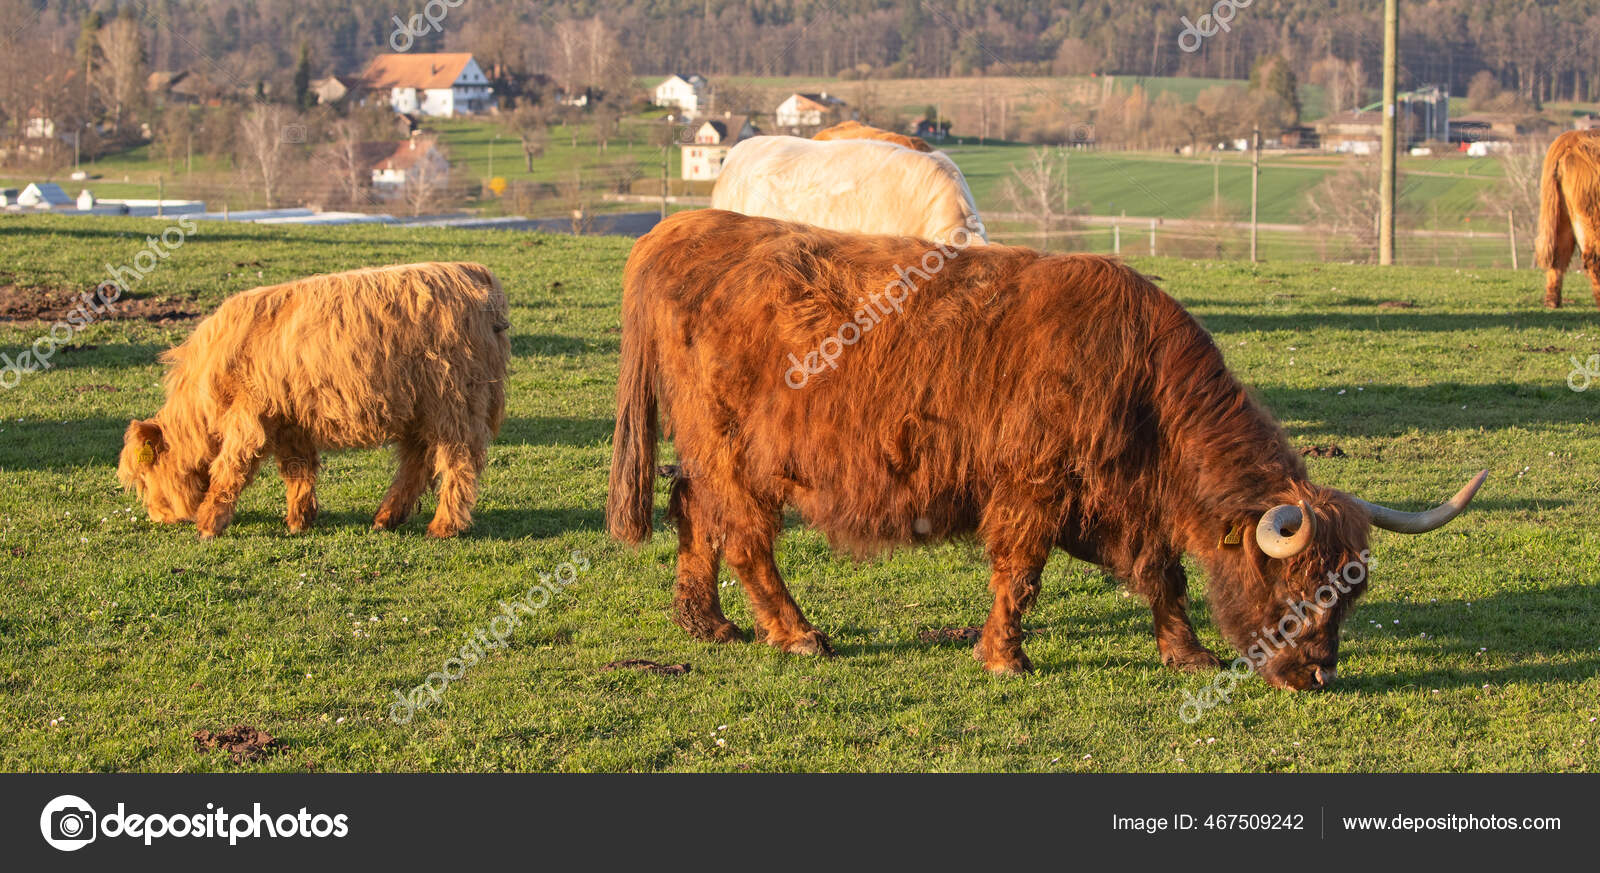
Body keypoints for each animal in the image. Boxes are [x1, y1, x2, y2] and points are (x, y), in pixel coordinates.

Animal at [118, 262, 510, 540]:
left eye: (145, 478)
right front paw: (299, 520)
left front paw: (209, 524)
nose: (158, 517)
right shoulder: (289, 421)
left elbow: (231, 468)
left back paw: (444, 526)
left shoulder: (249, 418)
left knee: (457, 463)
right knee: (416, 463)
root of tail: (474, 276)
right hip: (419, 409)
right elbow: (297, 469)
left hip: (453, 404)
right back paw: (385, 518)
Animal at [607, 209, 1486, 690]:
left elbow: (1163, 576)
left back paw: (707, 623)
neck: (1143, 388)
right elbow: (1021, 575)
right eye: (1295, 584)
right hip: (735, 451)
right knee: (745, 536)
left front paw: (1188, 653)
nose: (1318, 673)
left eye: (1352, 593)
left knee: (692, 507)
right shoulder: (1032, 485)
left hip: (709, 450)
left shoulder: (1121, 506)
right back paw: (794, 633)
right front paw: (1004, 657)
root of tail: (679, 231)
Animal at [1536, 129, 1600, 308]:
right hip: (1591, 214)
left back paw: (1552, 301)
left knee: (1558, 252)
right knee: (1593, 257)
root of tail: (1571, 137)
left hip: (1561, 212)